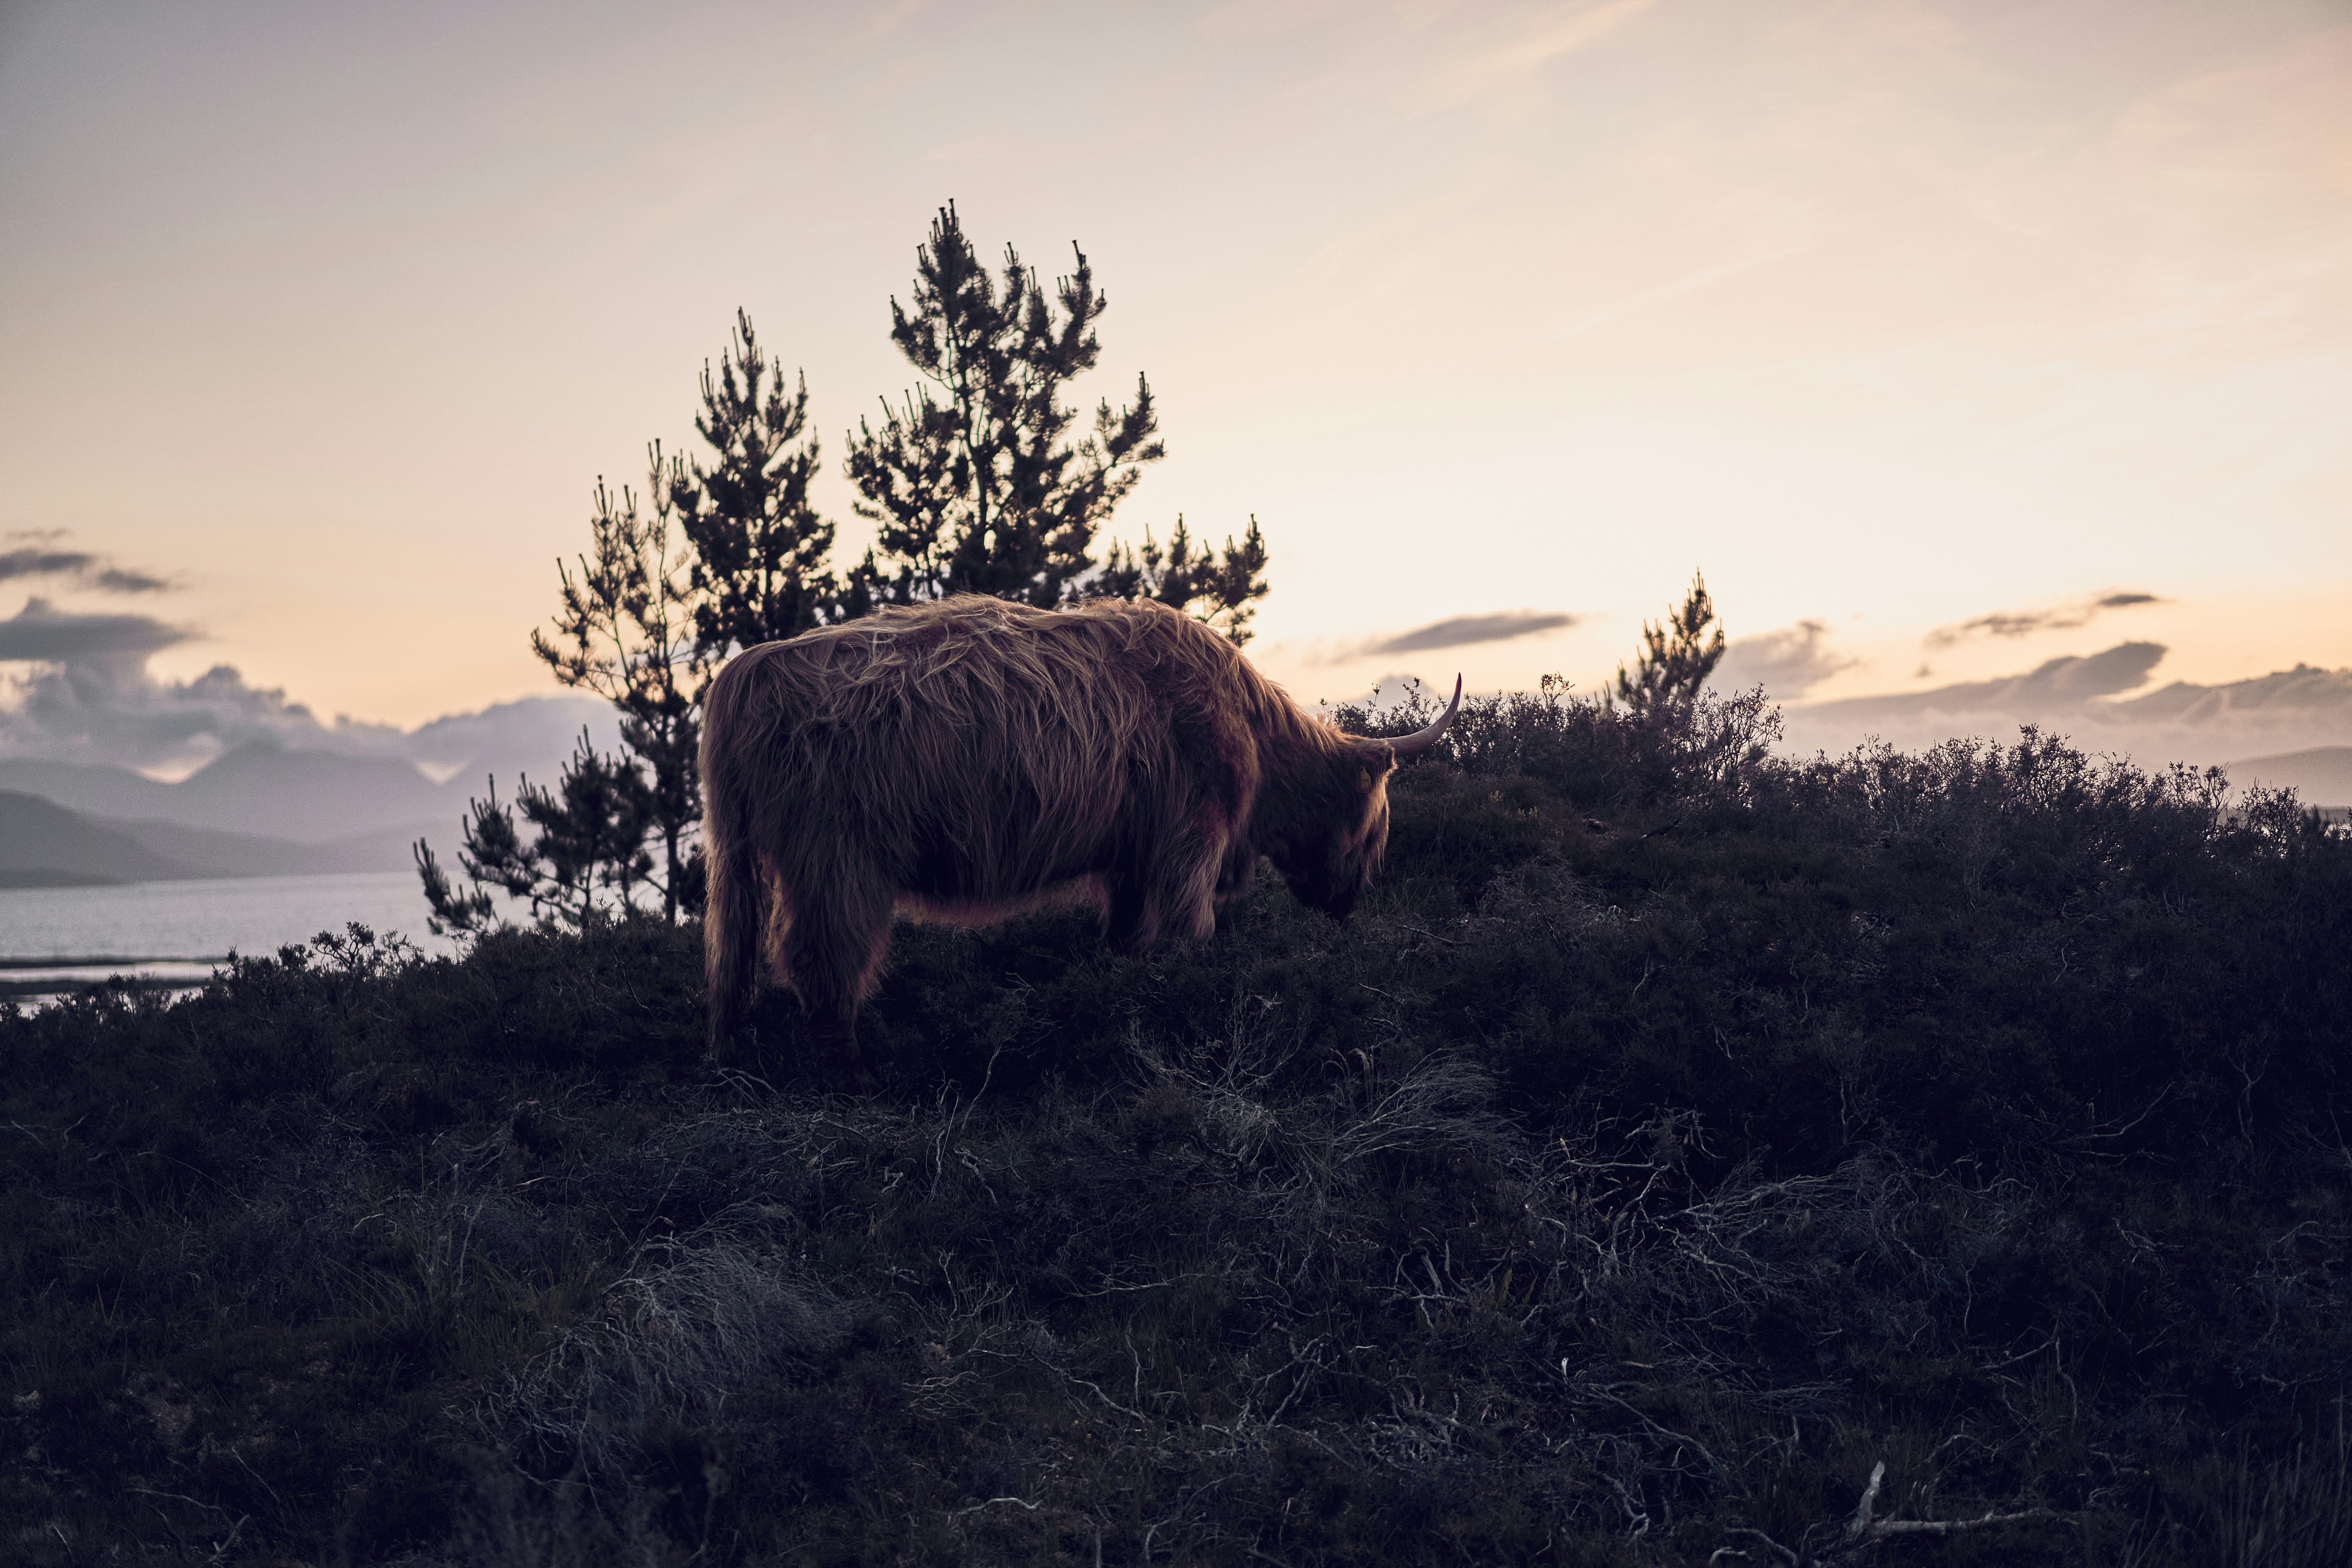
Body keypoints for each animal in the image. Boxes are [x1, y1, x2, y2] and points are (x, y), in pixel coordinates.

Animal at [698, 593, 1460, 1059]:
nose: (1348, 906)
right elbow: (1192, 930)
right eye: (1377, 830)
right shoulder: (1191, 839)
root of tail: (743, 673)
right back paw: (851, 1062)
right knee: (822, 956)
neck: (1254, 738)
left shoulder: (1132, 855)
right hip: (837, 858)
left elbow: (1124, 932)